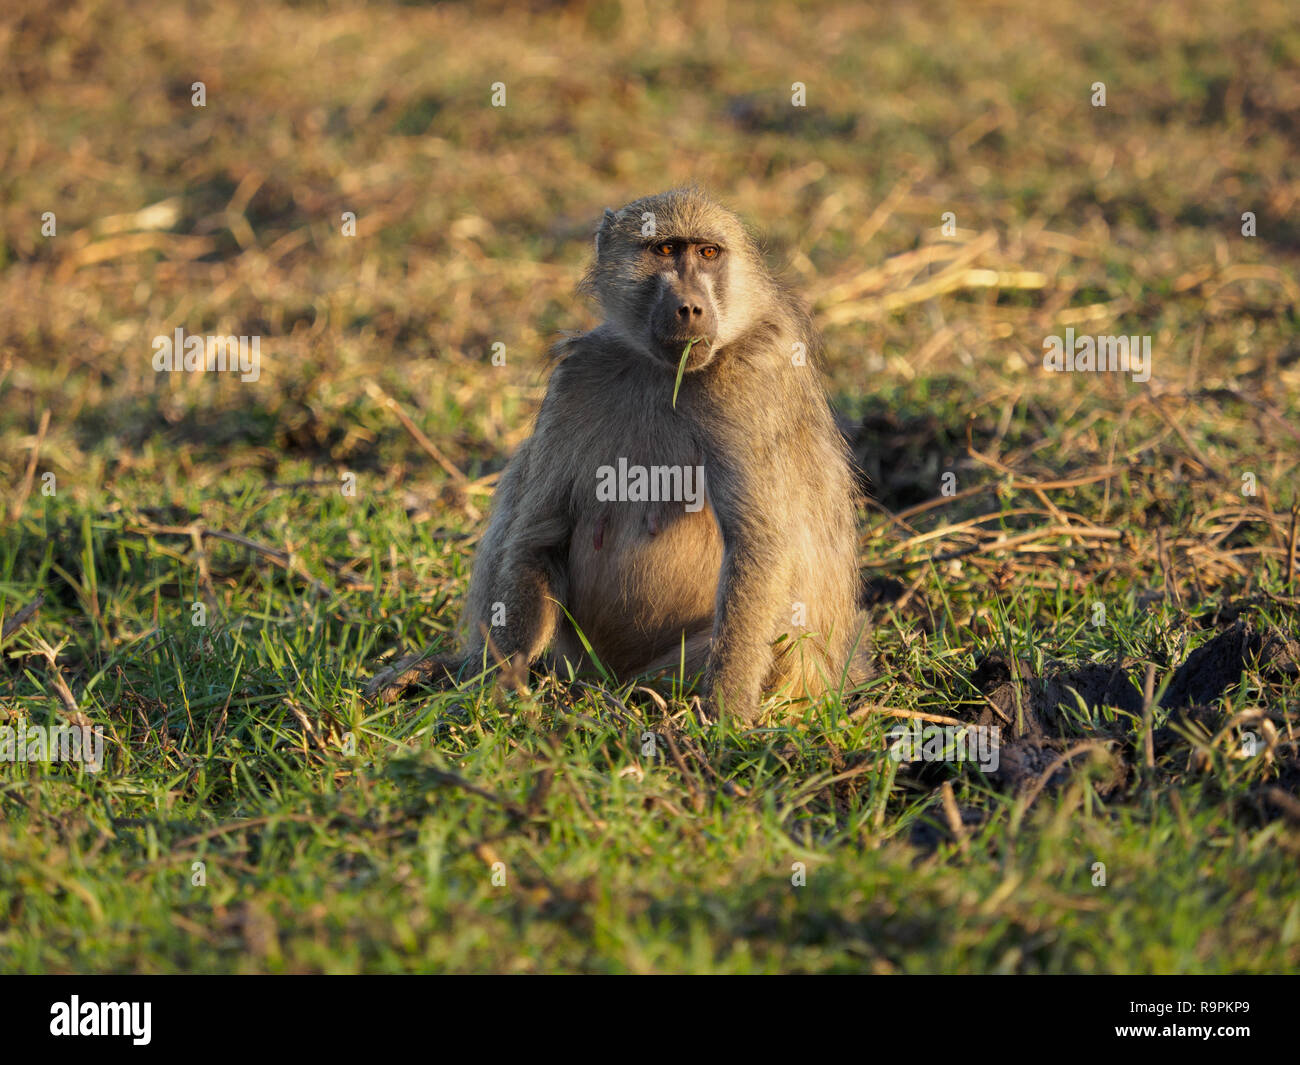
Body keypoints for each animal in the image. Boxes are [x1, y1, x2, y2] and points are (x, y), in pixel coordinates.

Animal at [365, 187, 871, 724]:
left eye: (709, 253)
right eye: (665, 250)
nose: (690, 308)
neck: (661, 371)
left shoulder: (752, 383)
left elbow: (760, 542)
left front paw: (723, 715)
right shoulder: (578, 377)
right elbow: (537, 533)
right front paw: (492, 689)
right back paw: (457, 668)